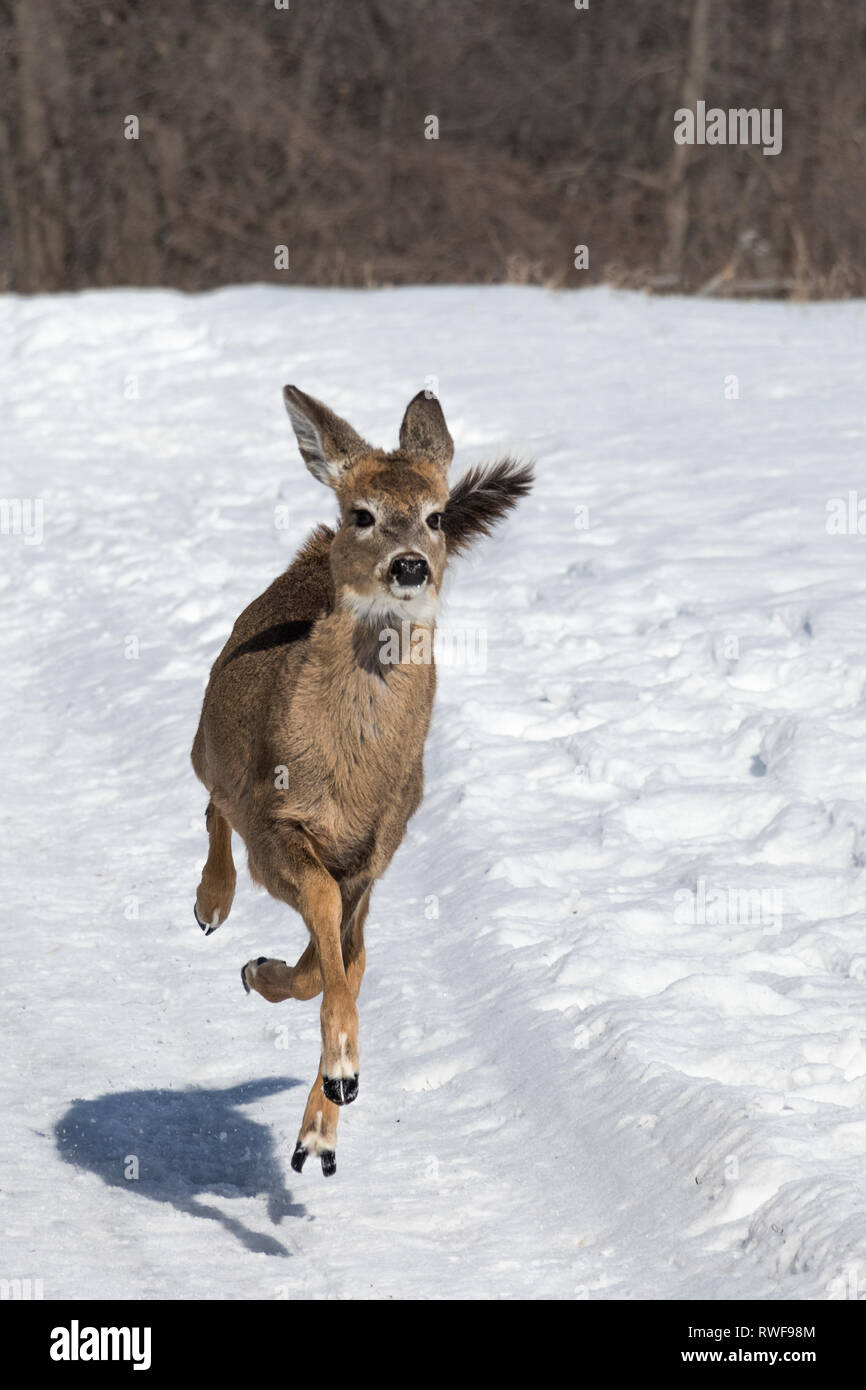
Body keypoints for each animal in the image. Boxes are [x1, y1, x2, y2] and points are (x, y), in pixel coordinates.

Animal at [190, 385, 532, 1176]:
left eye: (436, 514)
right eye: (363, 513)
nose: (409, 566)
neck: (348, 779)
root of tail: (307, 558)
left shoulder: (371, 860)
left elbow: (340, 964)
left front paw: (321, 1123)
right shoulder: (280, 832)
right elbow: (324, 942)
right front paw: (340, 1065)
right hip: (206, 748)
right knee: (211, 802)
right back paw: (210, 905)